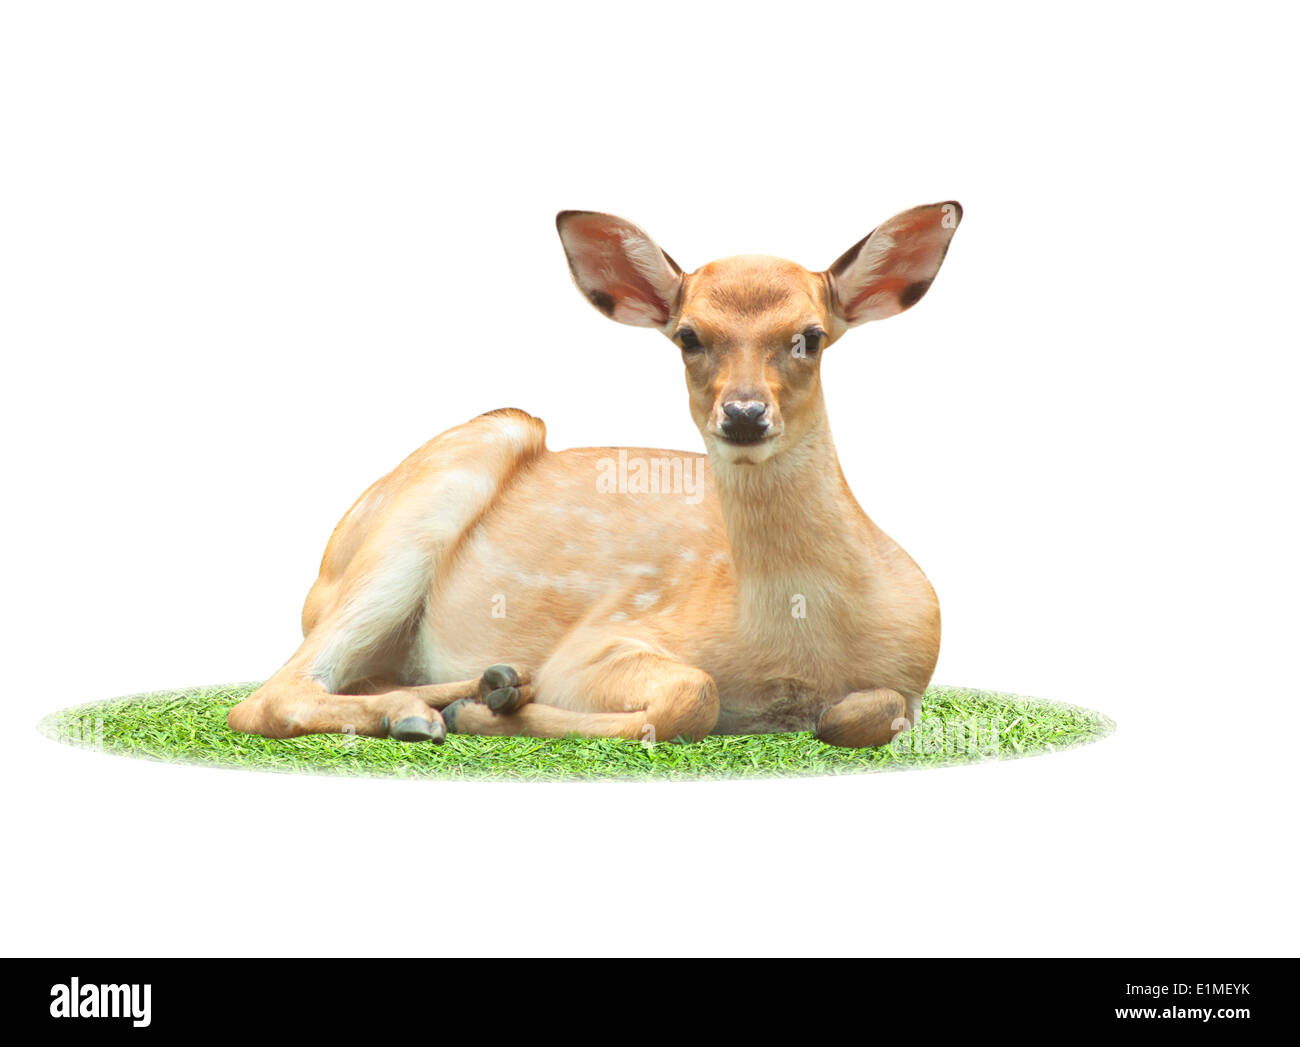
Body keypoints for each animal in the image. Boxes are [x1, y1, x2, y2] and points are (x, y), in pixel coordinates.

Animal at [227, 201, 962, 748]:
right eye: (688, 336)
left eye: (810, 335)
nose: (745, 414)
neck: (802, 642)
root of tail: (315, 585)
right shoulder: (602, 638)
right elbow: (693, 694)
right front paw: (492, 711)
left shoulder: (916, 671)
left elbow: (870, 711)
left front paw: (491, 698)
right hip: (458, 466)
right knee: (267, 697)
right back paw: (436, 708)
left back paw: (472, 689)